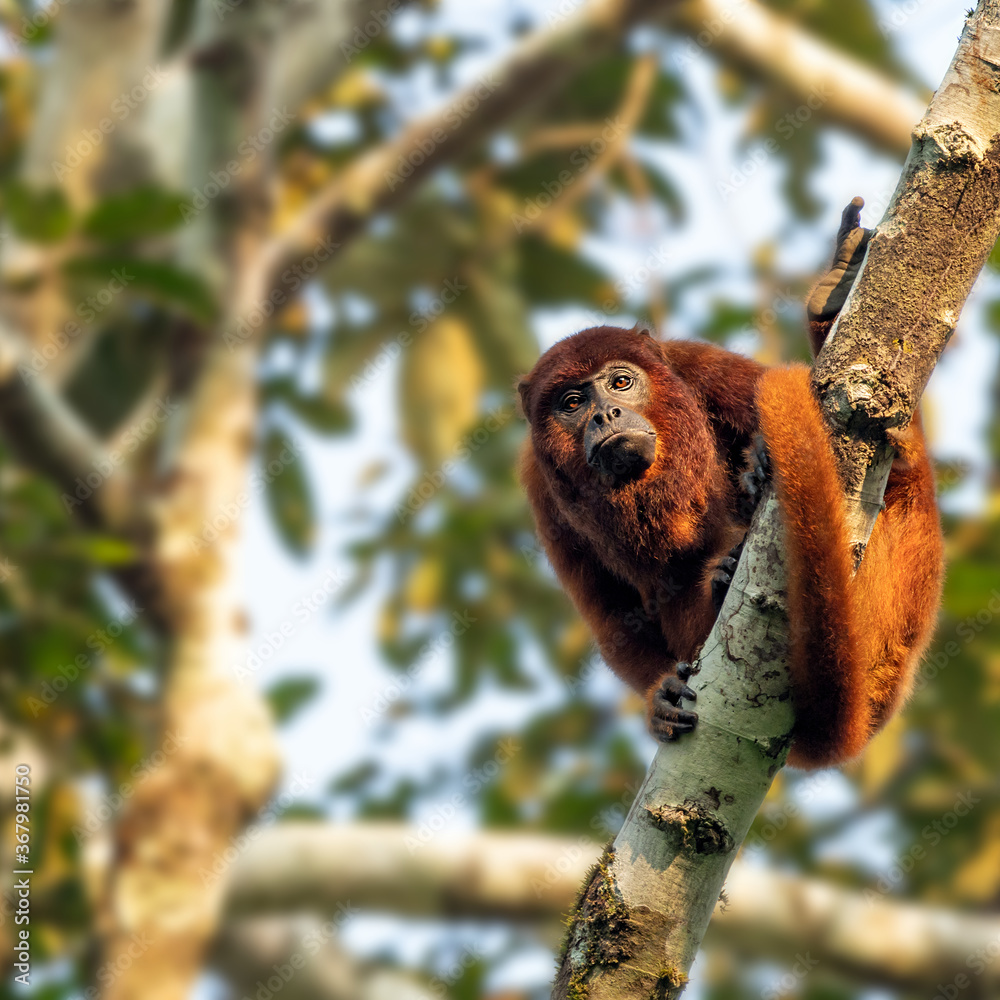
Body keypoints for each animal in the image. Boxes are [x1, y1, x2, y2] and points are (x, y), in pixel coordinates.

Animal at [516, 200, 943, 769]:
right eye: (571, 403)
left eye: (621, 381)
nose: (605, 415)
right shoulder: (539, 487)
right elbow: (614, 619)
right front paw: (658, 697)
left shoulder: (700, 365)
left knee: (898, 478)